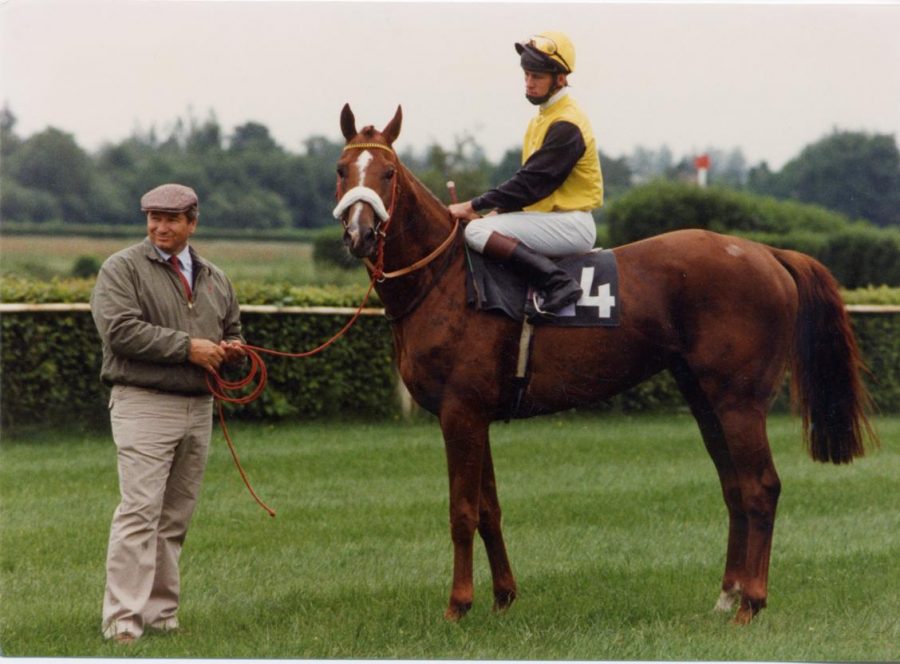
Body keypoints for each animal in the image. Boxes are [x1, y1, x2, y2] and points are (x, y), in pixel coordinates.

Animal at [332, 103, 876, 625]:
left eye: (387, 173)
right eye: (341, 169)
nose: (360, 233)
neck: (443, 280)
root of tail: (765, 251)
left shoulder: (460, 411)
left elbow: (463, 510)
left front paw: (458, 605)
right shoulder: (474, 415)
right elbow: (490, 508)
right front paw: (503, 596)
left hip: (740, 401)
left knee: (761, 487)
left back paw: (752, 603)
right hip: (706, 400)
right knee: (735, 487)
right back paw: (727, 596)